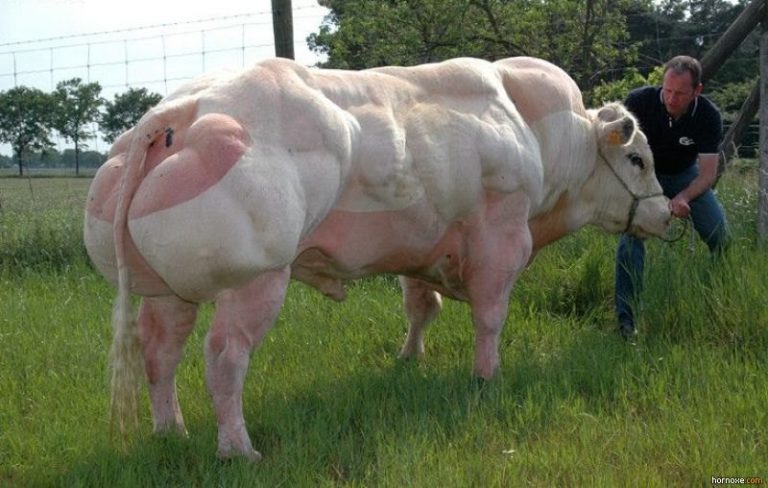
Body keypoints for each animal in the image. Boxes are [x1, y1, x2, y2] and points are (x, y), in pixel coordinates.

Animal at [84, 56, 670, 462]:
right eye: (638, 159)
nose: (668, 213)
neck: (535, 130)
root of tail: (178, 111)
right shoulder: (502, 236)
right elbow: (490, 317)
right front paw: (487, 378)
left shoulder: (422, 244)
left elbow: (422, 307)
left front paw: (409, 359)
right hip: (256, 278)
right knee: (225, 357)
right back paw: (239, 450)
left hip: (167, 290)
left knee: (160, 352)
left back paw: (172, 430)